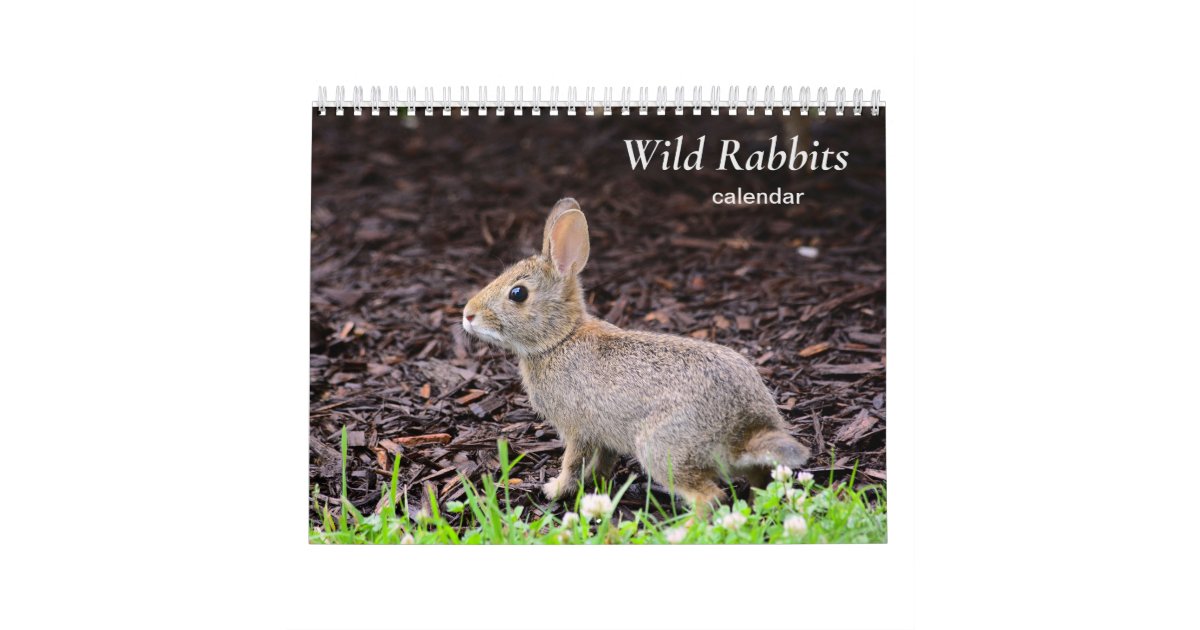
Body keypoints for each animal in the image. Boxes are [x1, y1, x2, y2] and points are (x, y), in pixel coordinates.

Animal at [461, 198, 811, 515]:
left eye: (518, 293)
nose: (467, 315)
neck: (560, 338)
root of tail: (744, 430)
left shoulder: (578, 429)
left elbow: (572, 462)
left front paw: (554, 489)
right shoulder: (603, 436)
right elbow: (602, 462)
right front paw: (596, 486)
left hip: (662, 449)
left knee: (709, 499)